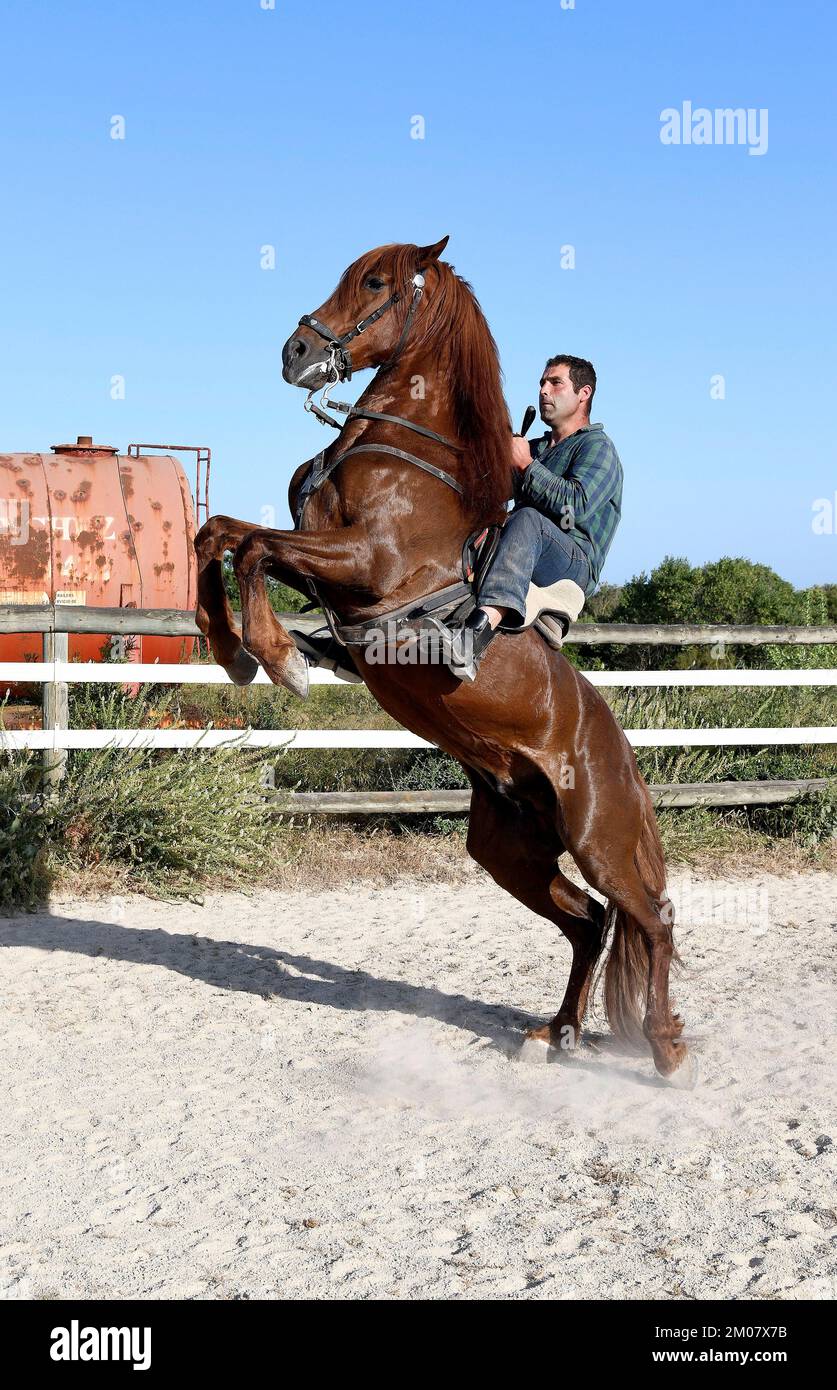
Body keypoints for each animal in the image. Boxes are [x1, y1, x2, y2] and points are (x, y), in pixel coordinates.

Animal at [194, 236, 691, 1084]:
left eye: (375, 283)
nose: (295, 352)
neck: (401, 454)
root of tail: (618, 751)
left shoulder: (362, 562)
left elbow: (252, 545)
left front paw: (278, 657)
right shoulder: (320, 562)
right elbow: (221, 535)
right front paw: (234, 647)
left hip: (599, 839)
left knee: (646, 919)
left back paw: (663, 1049)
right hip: (508, 849)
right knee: (589, 924)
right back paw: (553, 1033)